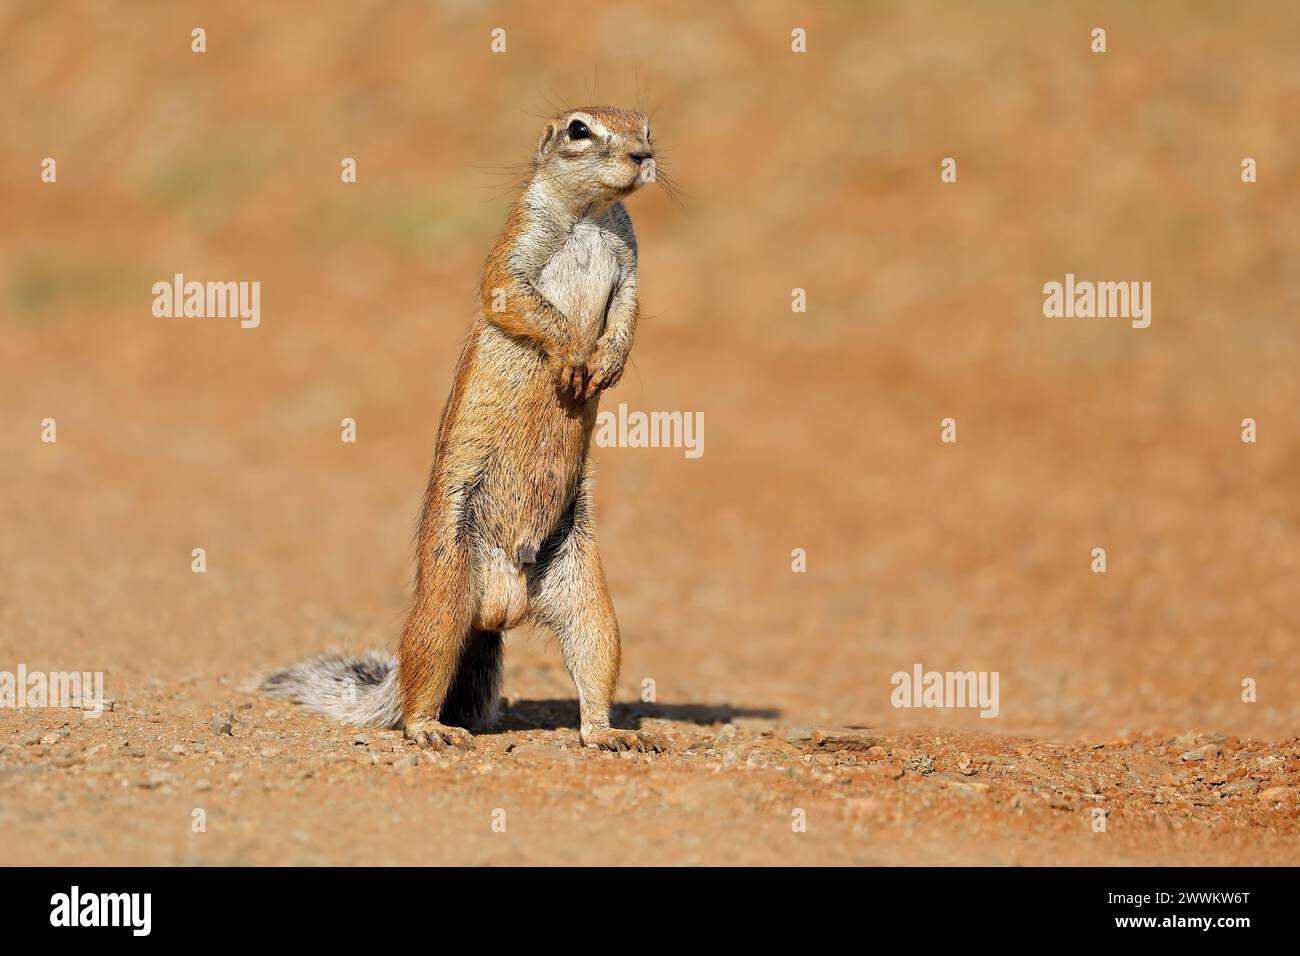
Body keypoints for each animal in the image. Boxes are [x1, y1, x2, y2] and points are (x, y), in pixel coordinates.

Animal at [259, 107, 664, 752]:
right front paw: (574, 353)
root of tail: (499, 609)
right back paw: (430, 729)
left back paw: (609, 734)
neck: (592, 214)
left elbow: (627, 310)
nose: (643, 156)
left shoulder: (630, 267)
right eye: (579, 129)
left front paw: (609, 362)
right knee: (423, 666)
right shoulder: (514, 253)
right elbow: (516, 299)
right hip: (446, 587)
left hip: (586, 596)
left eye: (646, 126)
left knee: (595, 659)